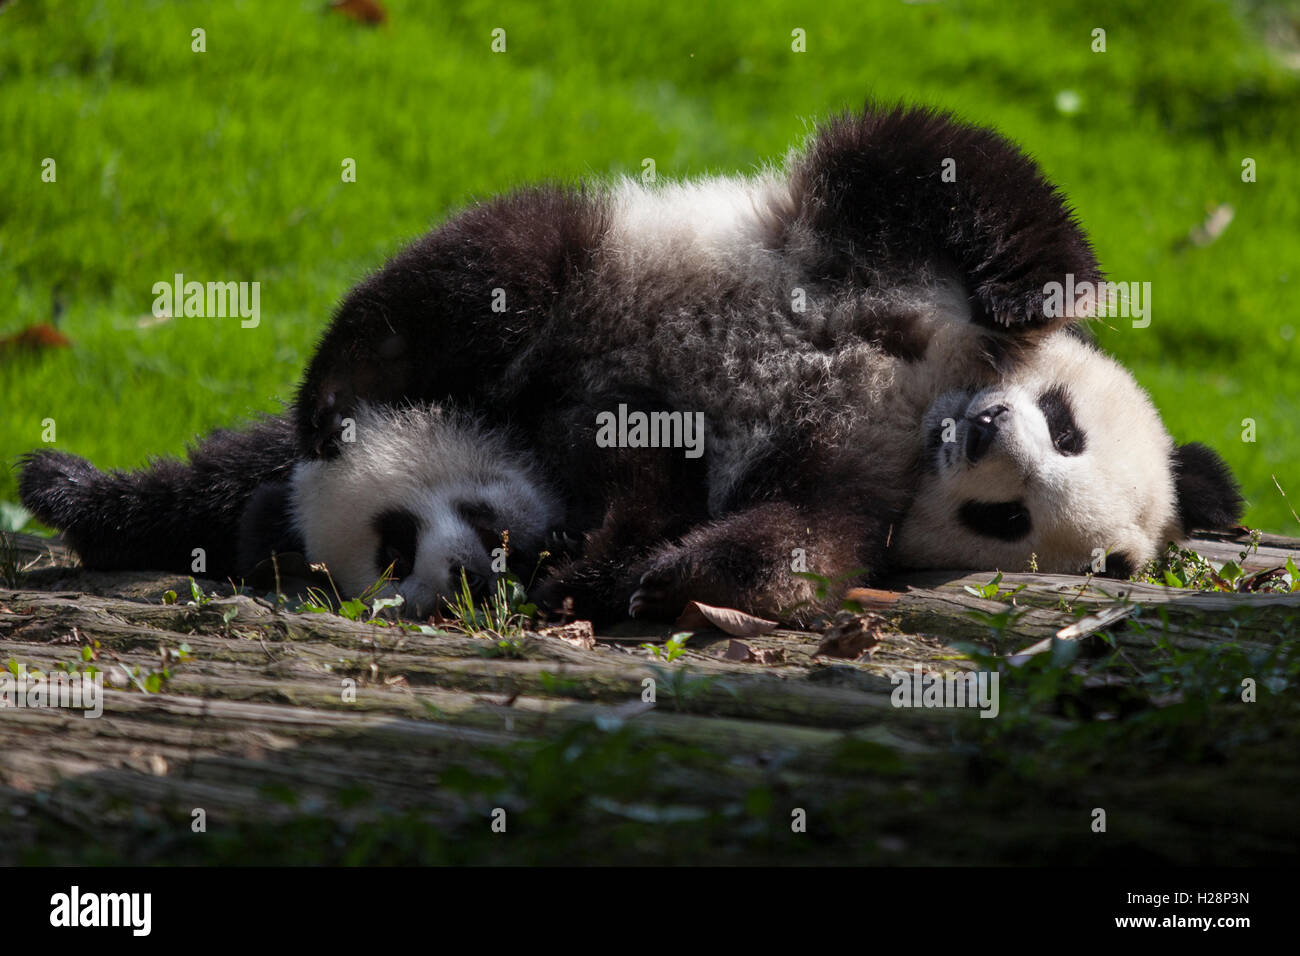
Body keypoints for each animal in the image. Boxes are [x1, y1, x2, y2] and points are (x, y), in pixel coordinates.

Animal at [18, 102, 1243, 625]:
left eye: (1008, 518)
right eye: (1062, 423)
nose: (984, 429)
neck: (914, 401)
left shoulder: (842, 479)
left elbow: (787, 541)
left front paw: (648, 578)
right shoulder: (873, 276)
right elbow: (959, 173)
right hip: (628, 256)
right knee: (478, 272)